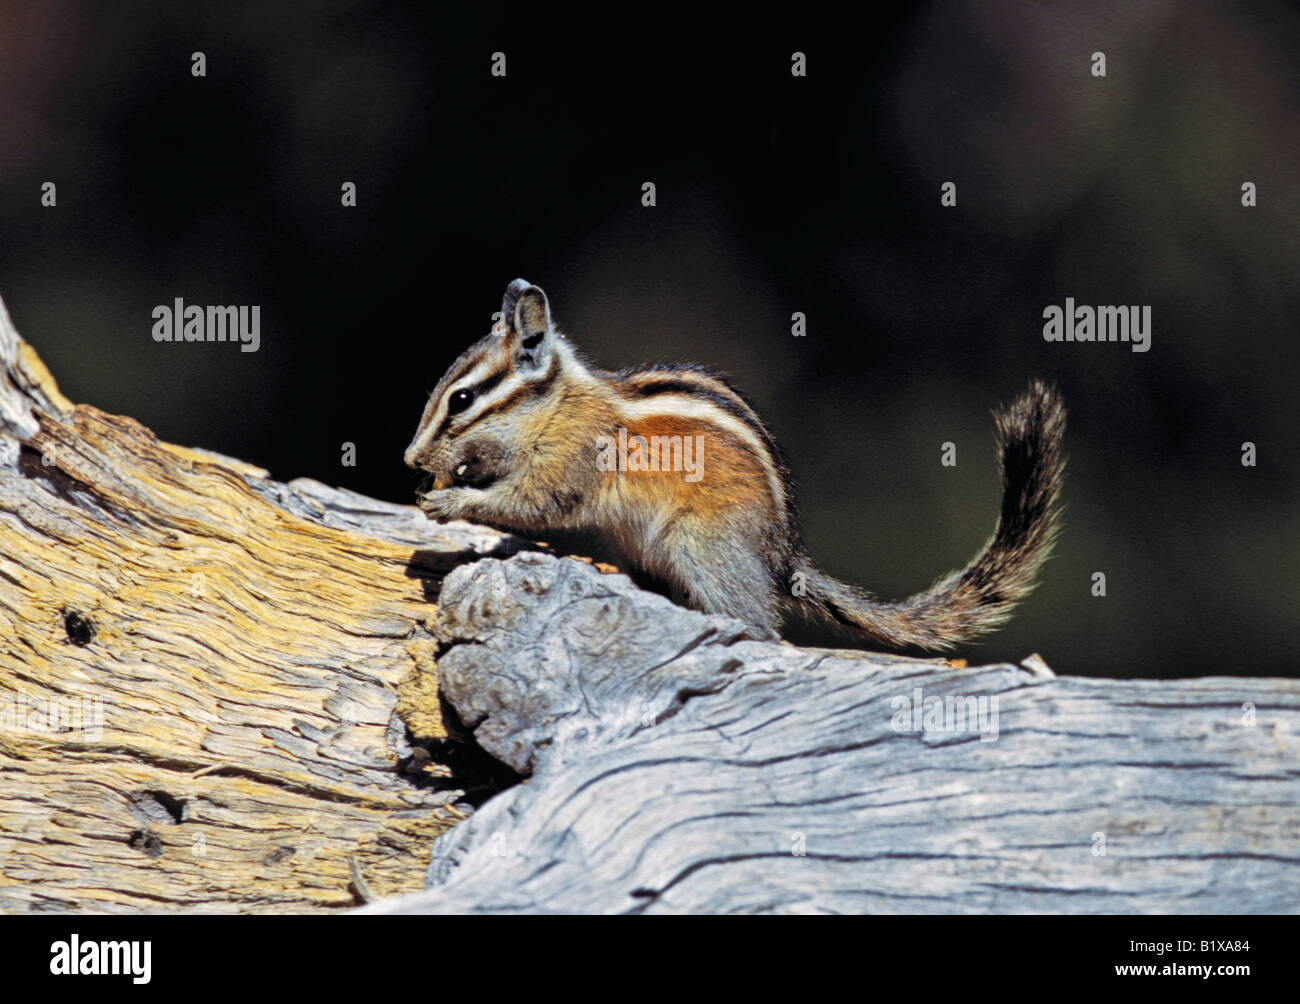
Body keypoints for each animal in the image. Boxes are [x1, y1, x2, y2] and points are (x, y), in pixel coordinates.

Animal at [405, 278, 1066, 650]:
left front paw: (450, 500)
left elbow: (531, 504)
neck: (556, 407)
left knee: (763, 628)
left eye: (461, 399)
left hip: (704, 545)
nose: (411, 457)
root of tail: (782, 556)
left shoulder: (571, 463)